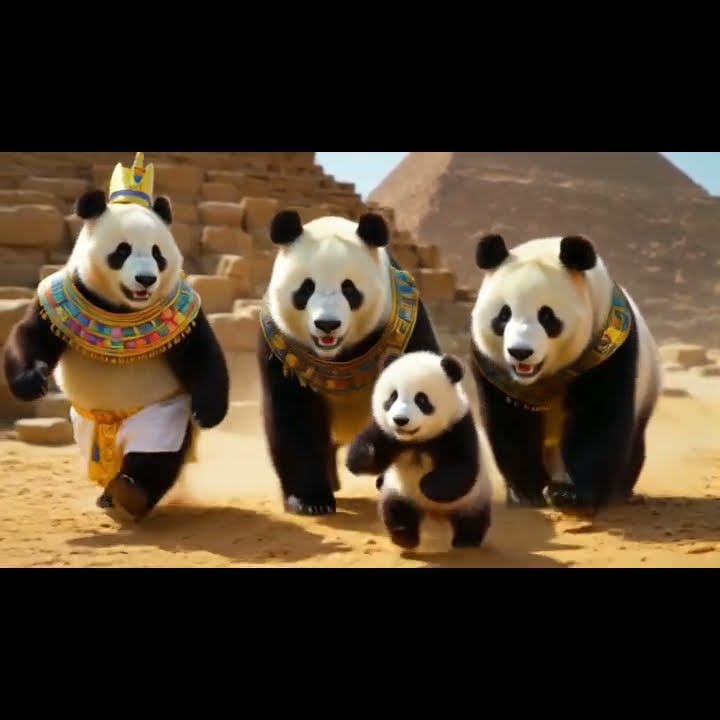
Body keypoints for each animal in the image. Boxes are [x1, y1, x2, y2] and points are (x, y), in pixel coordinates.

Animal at [2, 153, 230, 523]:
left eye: (157, 253)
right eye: (122, 251)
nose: (146, 279)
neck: (121, 310)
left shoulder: (182, 310)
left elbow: (203, 354)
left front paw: (208, 412)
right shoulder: (62, 294)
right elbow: (29, 335)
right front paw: (32, 380)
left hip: (158, 414)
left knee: (156, 456)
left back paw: (129, 494)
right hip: (87, 432)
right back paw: (114, 497)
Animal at [257, 209, 441, 516]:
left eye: (349, 289)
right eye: (306, 289)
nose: (327, 324)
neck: (338, 355)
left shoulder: (404, 324)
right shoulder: (281, 344)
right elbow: (292, 417)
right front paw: (310, 501)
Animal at [345, 351, 492, 552]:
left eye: (421, 400)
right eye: (392, 397)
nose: (400, 420)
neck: (416, 442)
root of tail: (434, 512)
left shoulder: (458, 428)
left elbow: (462, 467)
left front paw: (428, 485)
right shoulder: (387, 434)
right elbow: (372, 452)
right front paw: (364, 456)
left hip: (473, 497)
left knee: (473, 518)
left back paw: (466, 540)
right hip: (400, 491)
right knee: (396, 510)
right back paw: (403, 536)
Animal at [469, 232, 662, 515]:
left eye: (547, 316)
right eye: (503, 315)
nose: (520, 352)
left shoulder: (607, 345)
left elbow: (598, 418)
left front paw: (573, 494)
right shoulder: (493, 368)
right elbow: (510, 423)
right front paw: (527, 493)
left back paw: (618, 491)